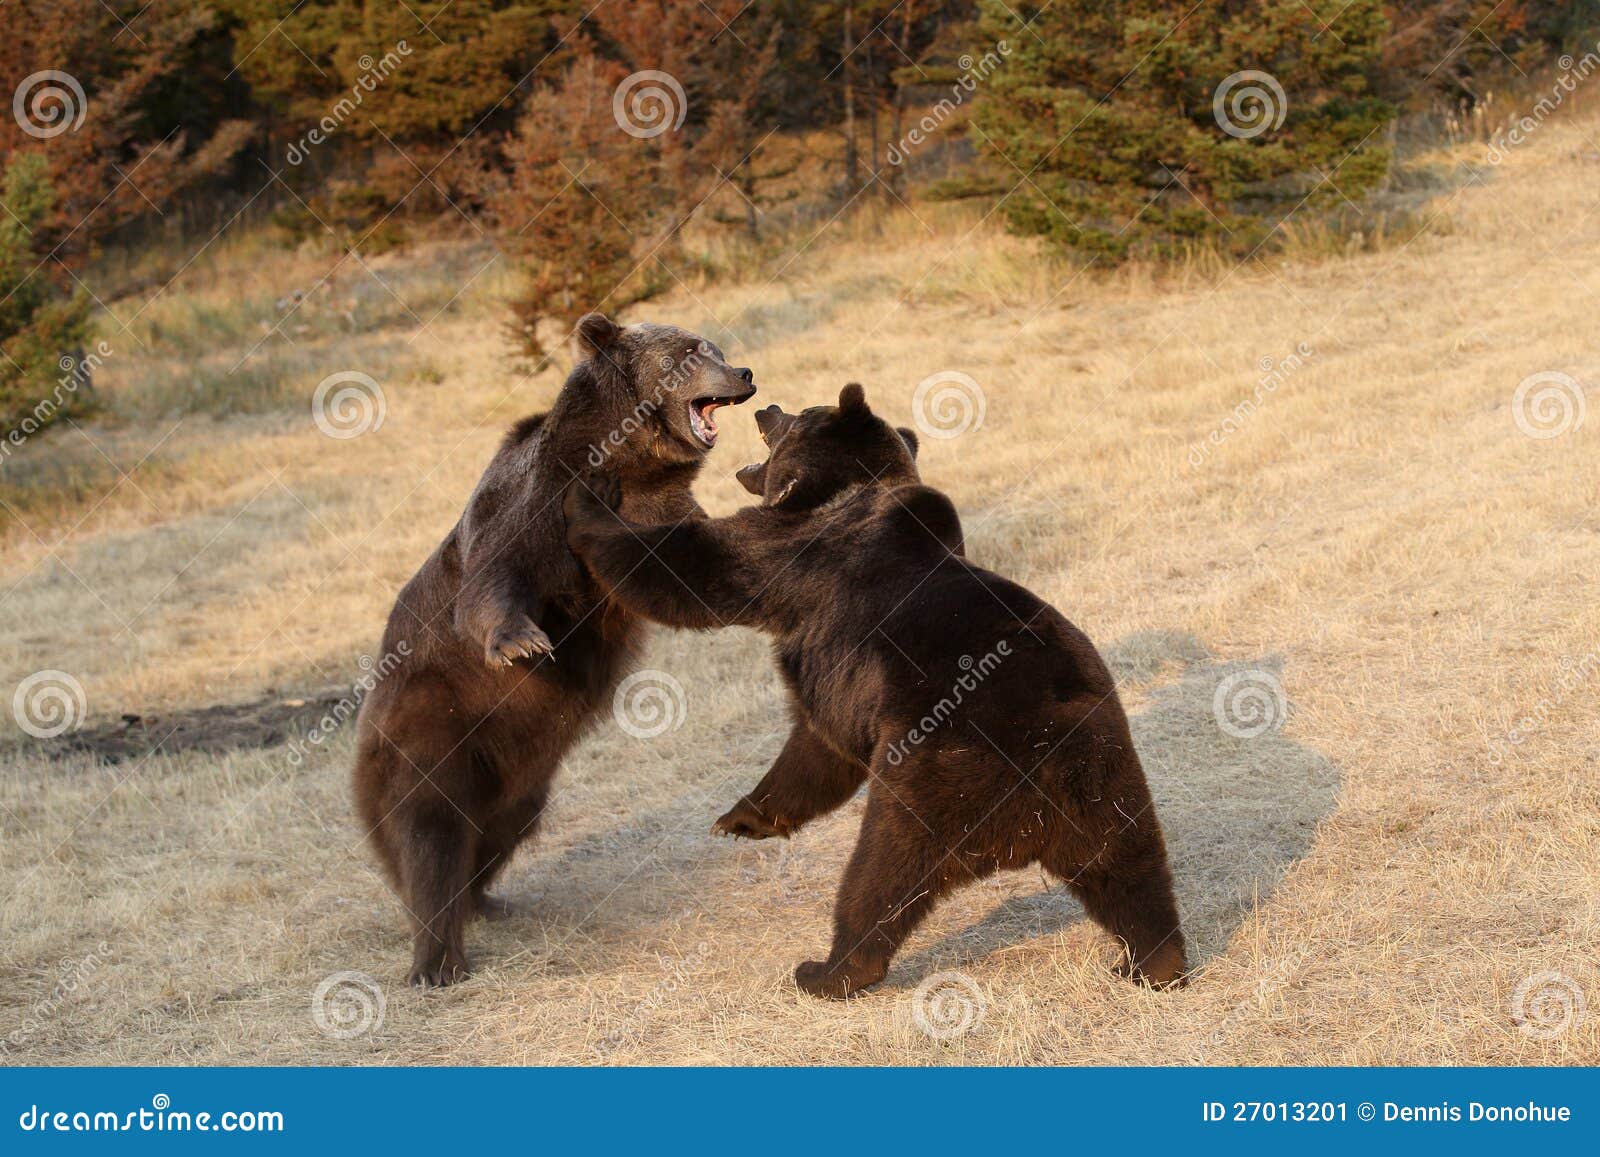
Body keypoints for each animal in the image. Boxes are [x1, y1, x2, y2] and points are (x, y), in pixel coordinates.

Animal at [353, 313, 755, 987]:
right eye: (690, 349)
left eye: (715, 347)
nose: (744, 372)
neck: (626, 463)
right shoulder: (535, 510)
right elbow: (492, 585)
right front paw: (521, 641)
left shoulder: (652, 512)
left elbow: (686, 575)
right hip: (429, 725)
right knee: (430, 830)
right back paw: (436, 958)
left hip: (511, 772)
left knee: (501, 826)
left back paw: (483, 898)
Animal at [562, 383, 1186, 998]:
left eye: (802, 412)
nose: (767, 407)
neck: (847, 494)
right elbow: (814, 755)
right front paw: (741, 818)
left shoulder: (796, 558)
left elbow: (689, 564)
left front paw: (587, 497)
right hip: (1105, 779)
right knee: (1131, 872)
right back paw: (1151, 963)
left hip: (937, 772)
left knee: (881, 874)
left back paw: (826, 970)